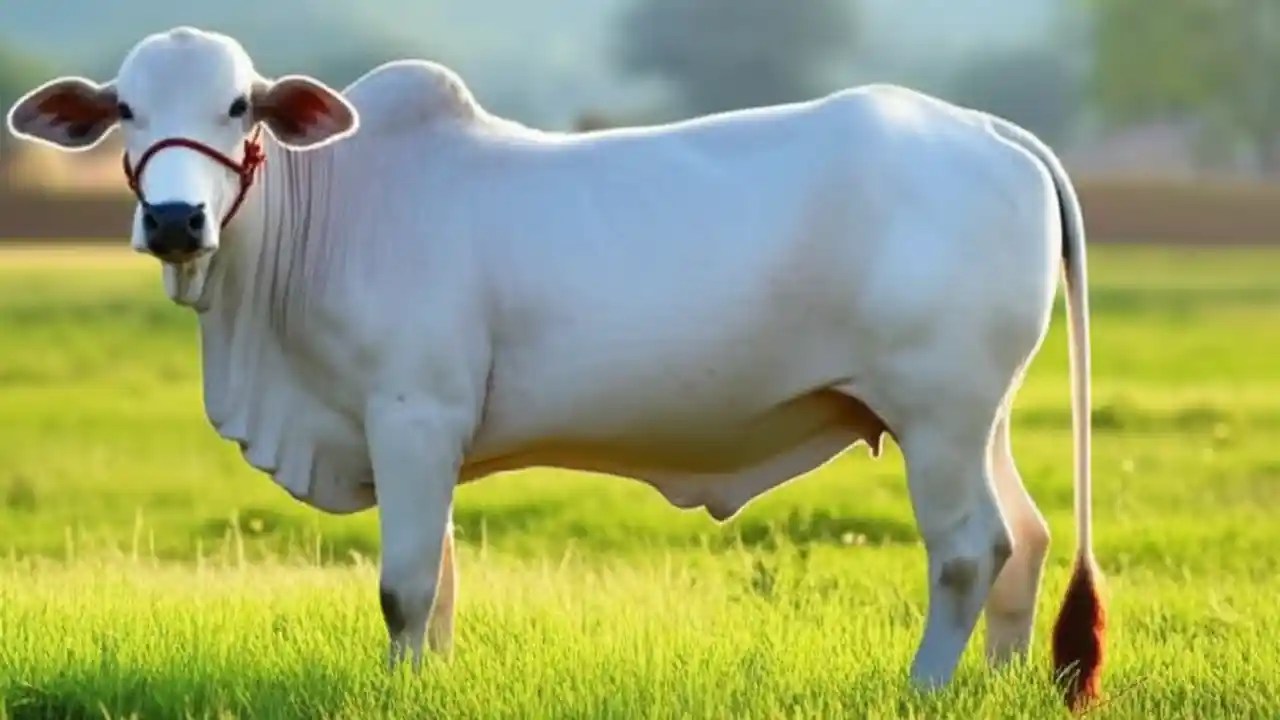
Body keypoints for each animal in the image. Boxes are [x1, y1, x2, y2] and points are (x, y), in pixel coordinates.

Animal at [7, 26, 1105, 710]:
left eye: (239, 105)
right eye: (126, 109)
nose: (175, 219)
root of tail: (988, 129)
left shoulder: (411, 415)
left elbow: (404, 586)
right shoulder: (424, 440)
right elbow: (442, 583)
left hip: (938, 415)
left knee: (966, 550)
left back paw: (923, 686)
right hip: (975, 419)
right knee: (1024, 540)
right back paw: (996, 687)